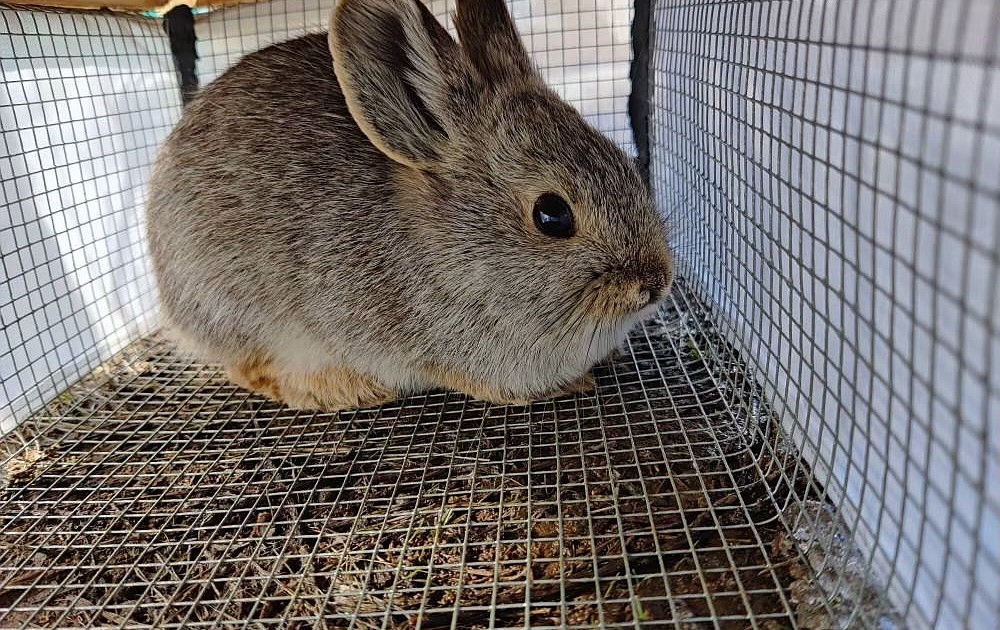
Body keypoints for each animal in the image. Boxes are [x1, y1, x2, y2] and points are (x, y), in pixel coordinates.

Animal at [146, 0, 675, 412]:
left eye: (628, 164)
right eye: (552, 214)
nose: (655, 283)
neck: (451, 249)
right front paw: (574, 382)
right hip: (238, 310)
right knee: (246, 370)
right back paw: (348, 389)